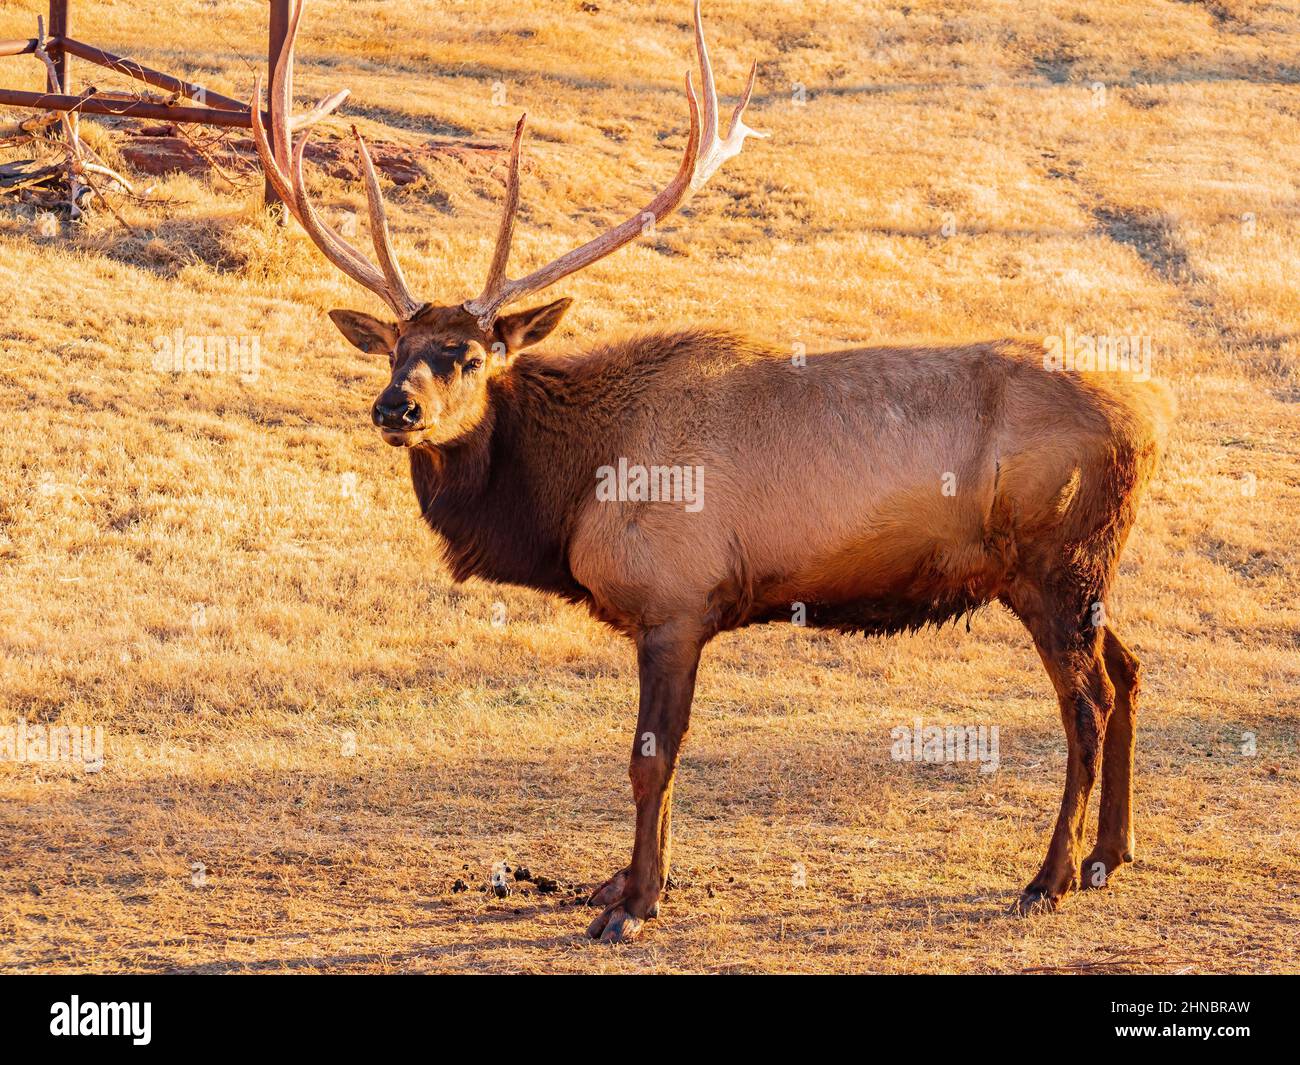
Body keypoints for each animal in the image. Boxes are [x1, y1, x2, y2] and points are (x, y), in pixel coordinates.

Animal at [251, 0, 1172, 942]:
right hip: (1081, 573)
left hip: (1054, 567)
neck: (570, 495)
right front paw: (619, 883)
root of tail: (1153, 419)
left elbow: (649, 759)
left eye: (471, 357)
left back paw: (1048, 877)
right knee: (1133, 672)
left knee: (1088, 704)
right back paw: (1110, 853)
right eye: (394, 350)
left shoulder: (676, 603)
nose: (394, 409)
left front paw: (636, 902)